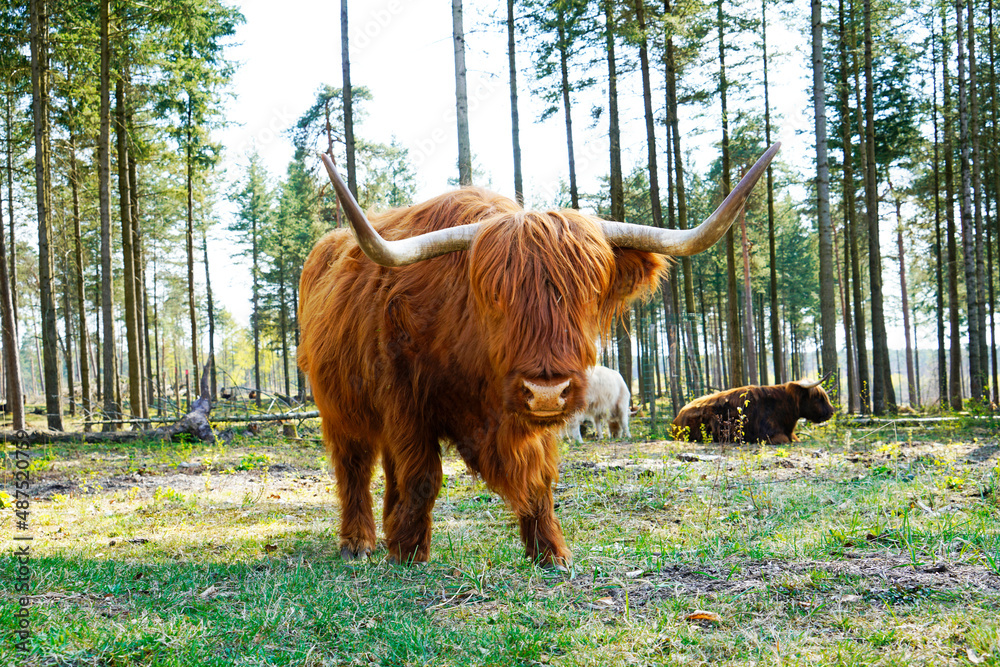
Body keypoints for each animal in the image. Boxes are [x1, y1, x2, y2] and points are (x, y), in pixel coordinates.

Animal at [298, 143, 779, 566]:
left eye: (588, 295)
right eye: (495, 297)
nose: (545, 392)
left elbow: (539, 479)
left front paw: (550, 552)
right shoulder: (406, 403)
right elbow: (422, 476)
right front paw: (409, 552)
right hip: (340, 409)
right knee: (354, 467)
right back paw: (359, 542)